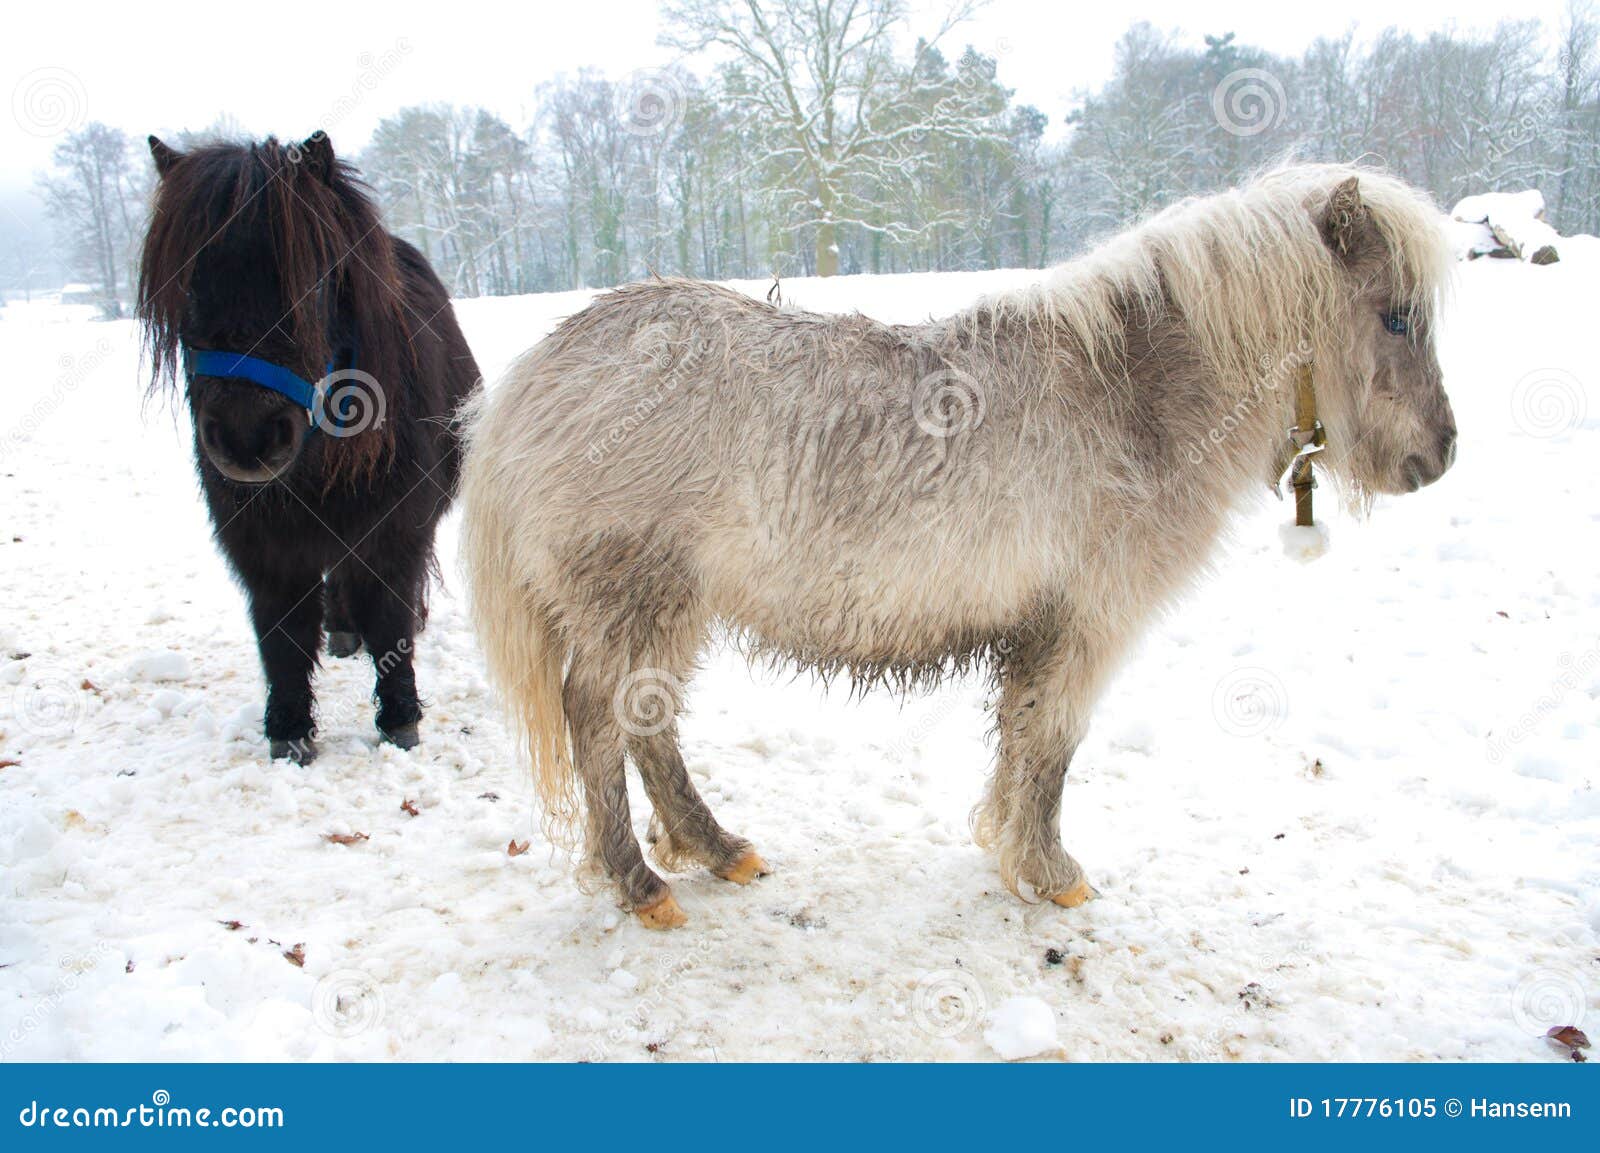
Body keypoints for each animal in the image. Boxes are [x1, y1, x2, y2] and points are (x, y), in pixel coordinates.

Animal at [138, 132, 481, 763]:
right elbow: (281, 635)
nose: (247, 436)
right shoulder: (261, 544)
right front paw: (289, 728)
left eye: (314, 283)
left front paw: (400, 719)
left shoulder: (395, 531)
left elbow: (390, 619)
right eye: (189, 285)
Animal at [459, 164, 1457, 928]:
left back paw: (716, 847)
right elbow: (1051, 742)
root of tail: (536, 374)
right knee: (600, 719)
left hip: (667, 605)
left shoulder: (1046, 627)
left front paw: (1009, 850)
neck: (1130, 395)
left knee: (648, 723)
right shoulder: (1086, 624)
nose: (1440, 454)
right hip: (635, 596)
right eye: (1396, 317)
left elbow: (1022, 738)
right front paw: (1051, 872)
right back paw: (640, 882)